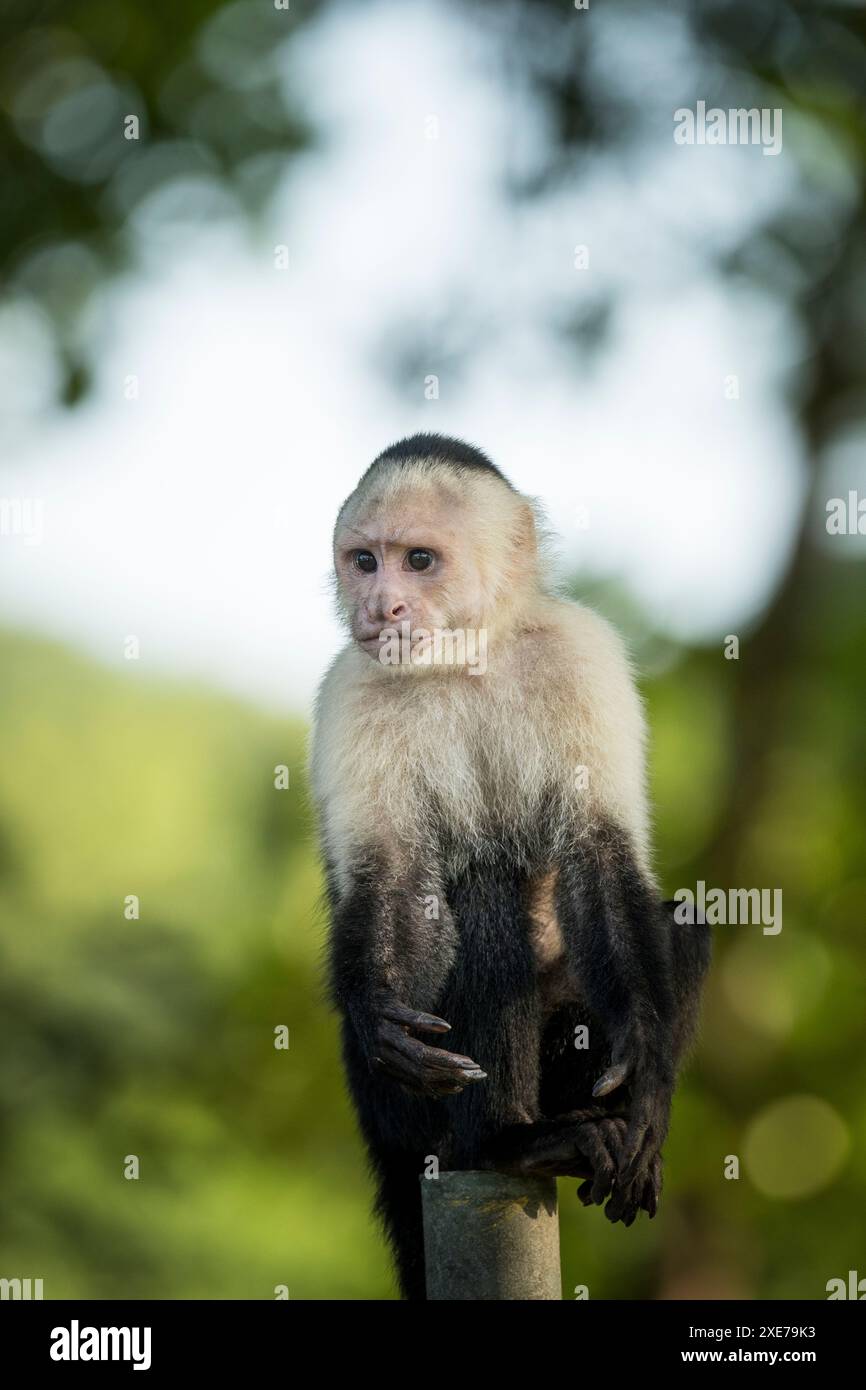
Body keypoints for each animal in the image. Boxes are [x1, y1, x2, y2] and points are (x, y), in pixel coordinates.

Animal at [310, 433, 710, 1301]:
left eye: (419, 560)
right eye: (365, 561)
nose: (381, 605)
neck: (467, 656)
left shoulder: (581, 652)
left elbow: (601, 855)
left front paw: (646, 1071)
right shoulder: (352, 689)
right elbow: (395, 880)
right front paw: (377, 1008)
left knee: (686, 923)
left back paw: (594, 1136)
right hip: (398, 1114)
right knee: (483, 896)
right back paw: (505, 1146)